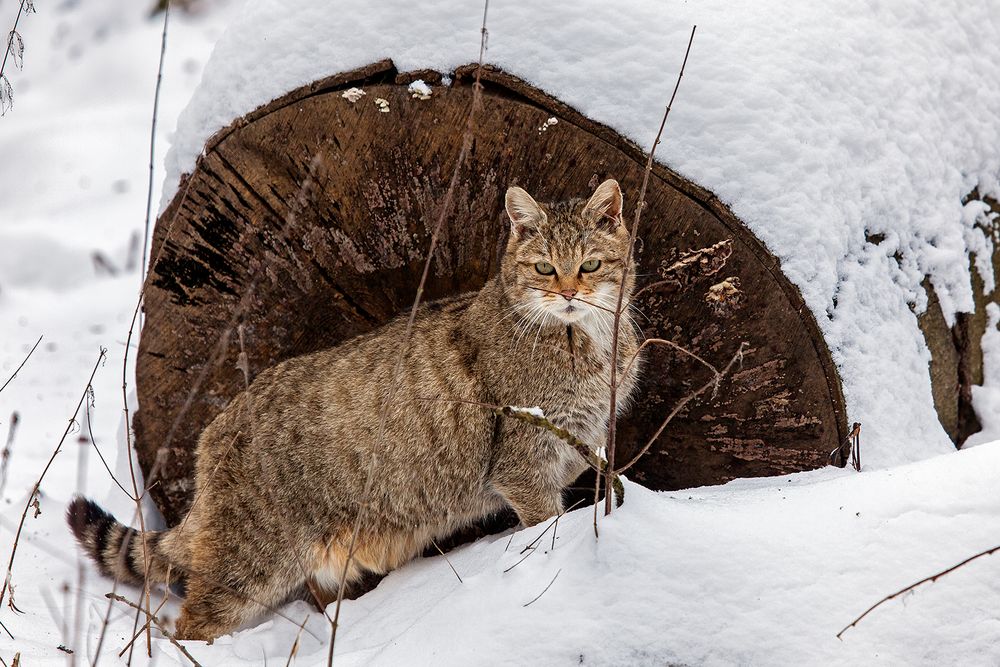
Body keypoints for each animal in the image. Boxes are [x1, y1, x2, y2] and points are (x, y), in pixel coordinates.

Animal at [68, 177, 640, 640]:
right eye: (544, 267)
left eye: (589, 264)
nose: (569, 293)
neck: (584, 343)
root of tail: (214, 432)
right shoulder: (523, 466)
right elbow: (547, 527)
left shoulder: (579, 444)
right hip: (250, 561)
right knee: (193, 621)